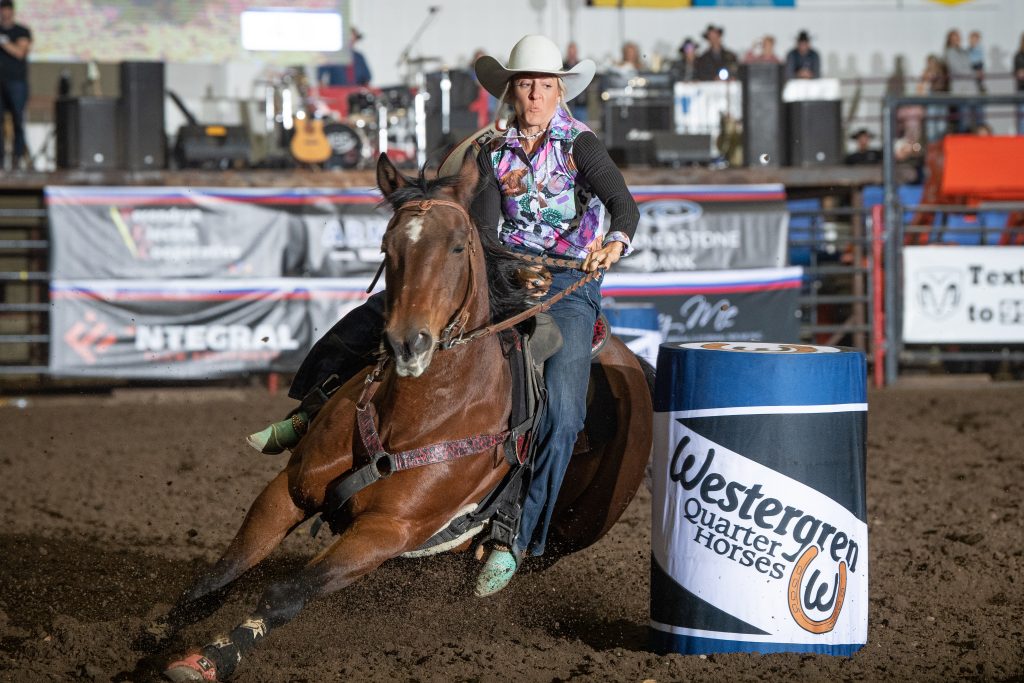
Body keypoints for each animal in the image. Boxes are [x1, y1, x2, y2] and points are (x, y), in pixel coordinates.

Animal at [153, 152, 654, 682]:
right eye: (387, 245)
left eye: (457, 245)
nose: (407, 343)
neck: (418, 416)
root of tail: (633, 363)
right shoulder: (289, 490)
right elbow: (221, 572)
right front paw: (156, 634)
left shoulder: (387, 530)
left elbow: (286, 594)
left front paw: (211, 656)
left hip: (564, 535)